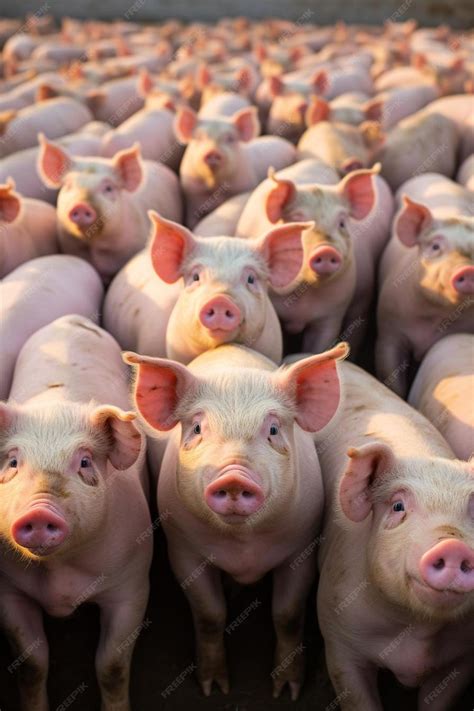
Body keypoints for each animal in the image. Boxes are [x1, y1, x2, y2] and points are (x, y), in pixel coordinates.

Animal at [0, 315, 152, 711]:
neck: (59, 578)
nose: (39, 511)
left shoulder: (131, 584)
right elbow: (32, 665)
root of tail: (71, 320)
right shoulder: (9, 591)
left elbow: (112, 666)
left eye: (84, 462)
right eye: (13, 462)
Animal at [125, 341, 348, 698]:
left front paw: (287, 691)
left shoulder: (302, 547)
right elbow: (209, 614)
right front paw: (214, 688)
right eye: (198, 428)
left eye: (273, 429)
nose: (233, 476)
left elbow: (287, 614)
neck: (244, 547)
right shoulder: (183, 550)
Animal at [376, 173, 474, 396]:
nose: (467, 269)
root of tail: (430, 174)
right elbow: (391, 374)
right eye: (435, 246)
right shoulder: (388, 329)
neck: (435, 316)